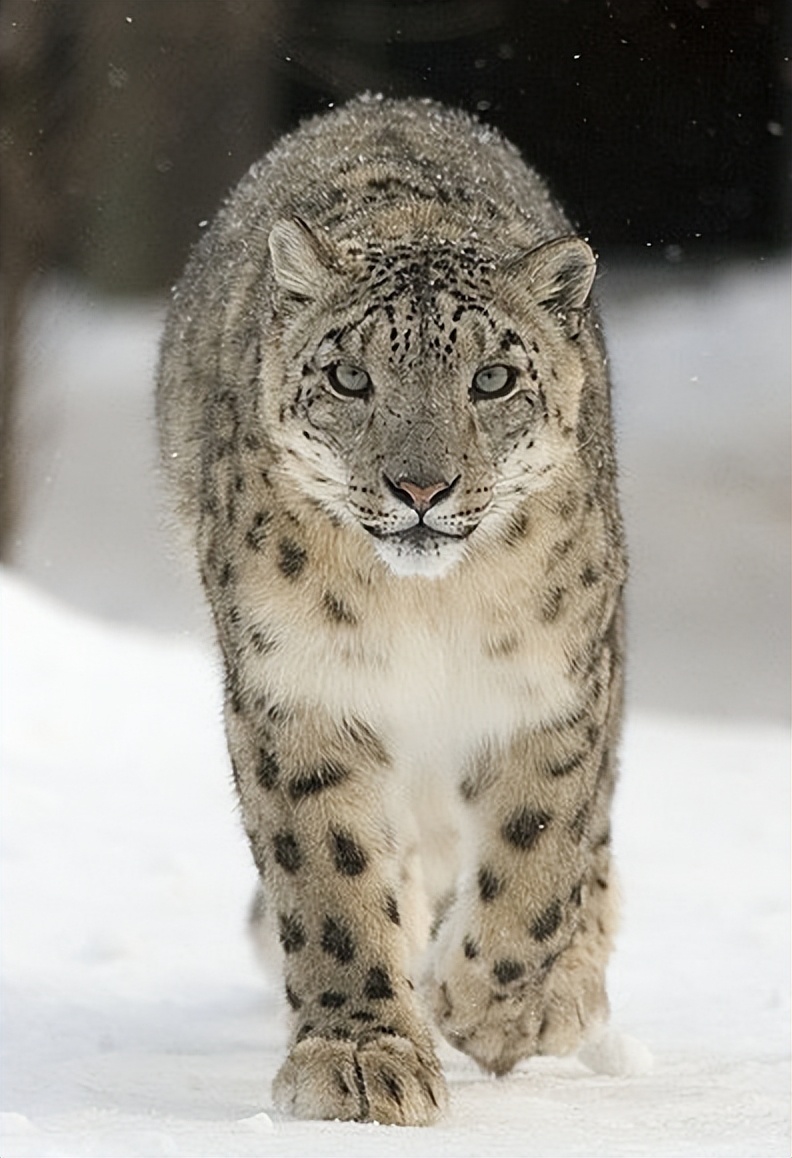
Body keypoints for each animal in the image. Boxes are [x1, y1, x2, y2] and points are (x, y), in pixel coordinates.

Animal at [156, 94, 627, 1127]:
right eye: (349, 378)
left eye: (492, 379)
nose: (419, 486)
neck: (427, 614)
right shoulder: (297, 687)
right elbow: (330, 875)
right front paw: (363, 1060)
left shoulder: (552, 688)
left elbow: (539, 861)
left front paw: (488, 1009)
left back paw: (564, 992)